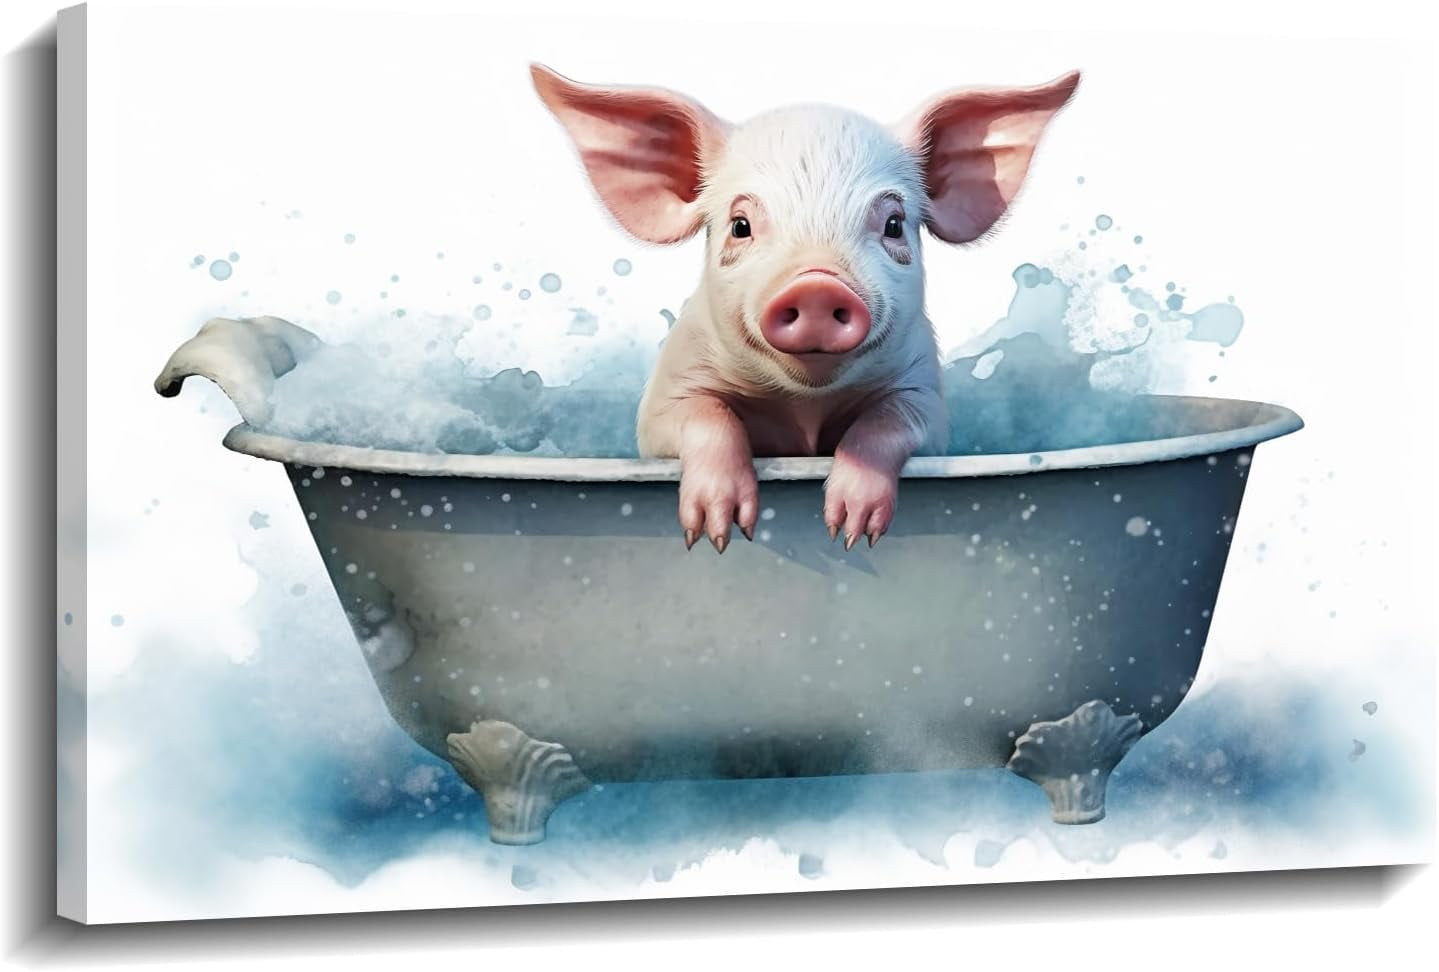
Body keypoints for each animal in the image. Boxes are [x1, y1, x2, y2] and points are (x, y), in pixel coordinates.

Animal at [531, 63, 1078, 552]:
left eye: (894, 224)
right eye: (741, 226)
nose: (817, 286)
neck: (803, 407)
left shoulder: (923, 391)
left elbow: (891, 420)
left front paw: (850, 532)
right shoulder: (665, 398)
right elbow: (704, 413)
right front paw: (716, 534)